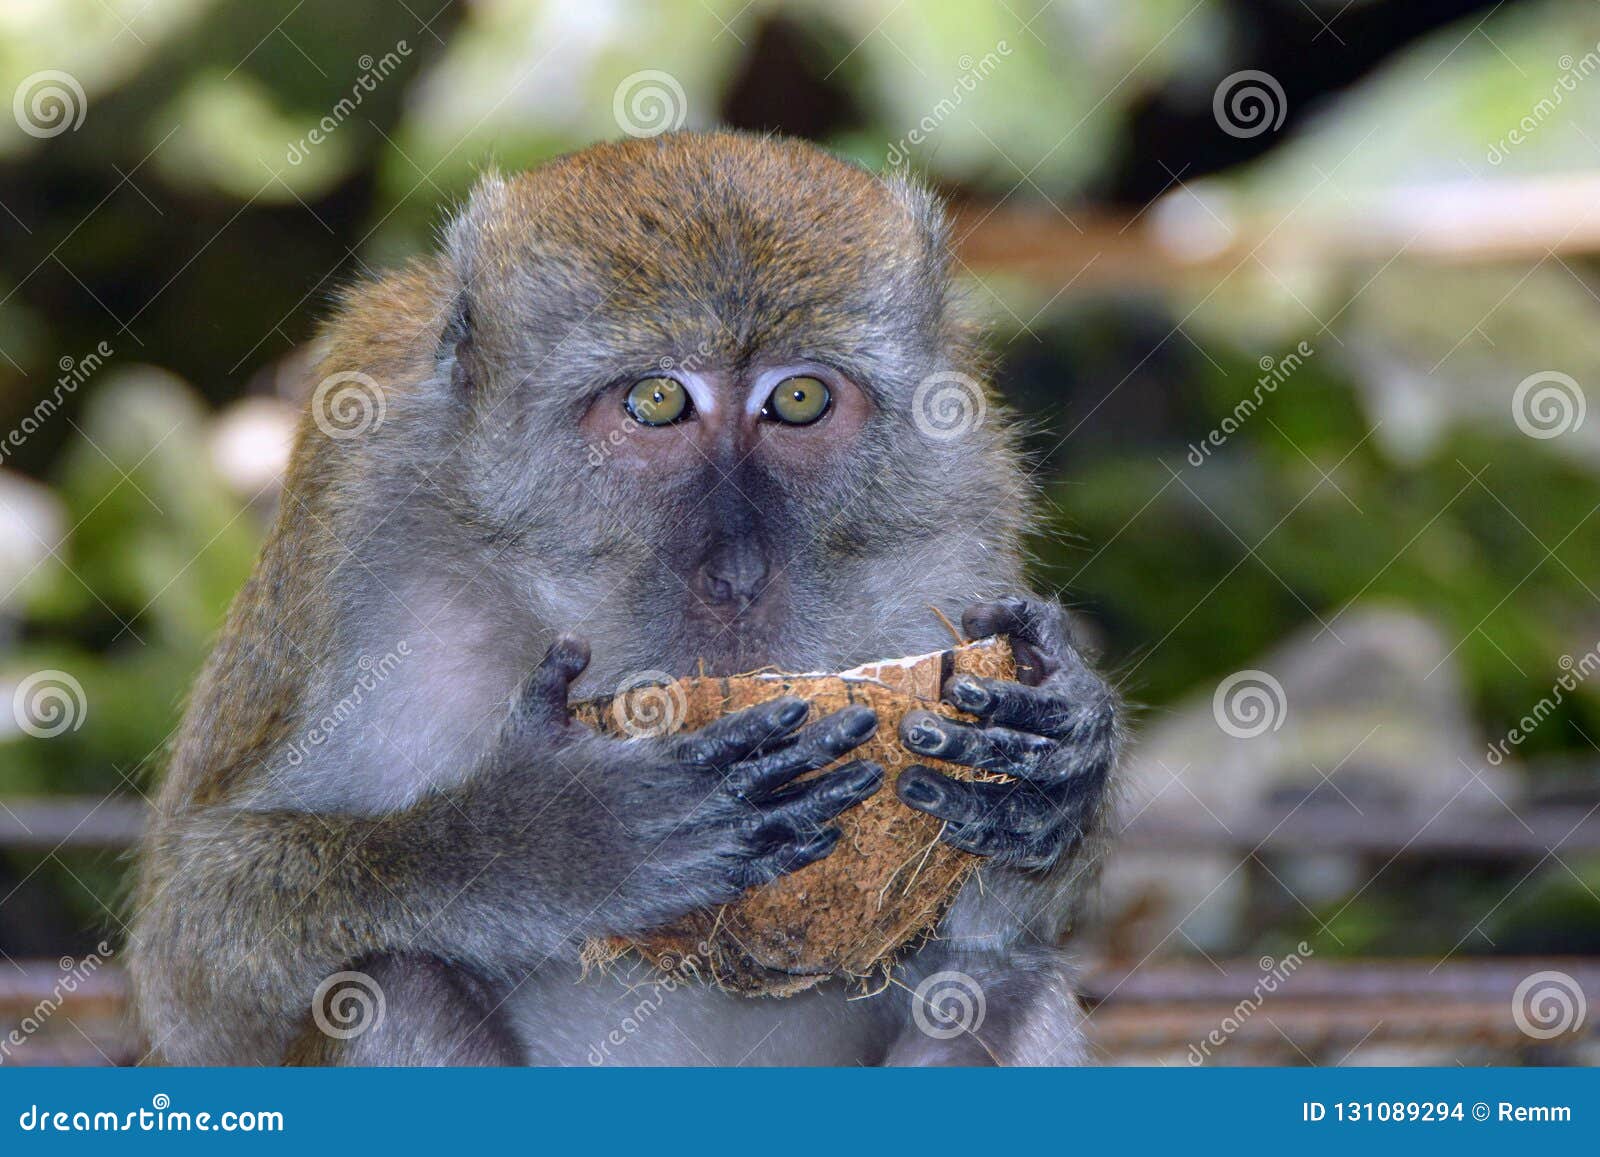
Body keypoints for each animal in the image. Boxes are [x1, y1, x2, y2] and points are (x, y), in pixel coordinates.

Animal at [127, 131, 1119, 1067]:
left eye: (799, 398)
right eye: (658, 399)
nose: (738, 570)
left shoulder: (963, 510)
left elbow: (989, 929)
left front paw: (1059, 767)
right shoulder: (359, 522)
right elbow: (191, 957)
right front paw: (540, 840)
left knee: (1003, 986)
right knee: (387, 987)